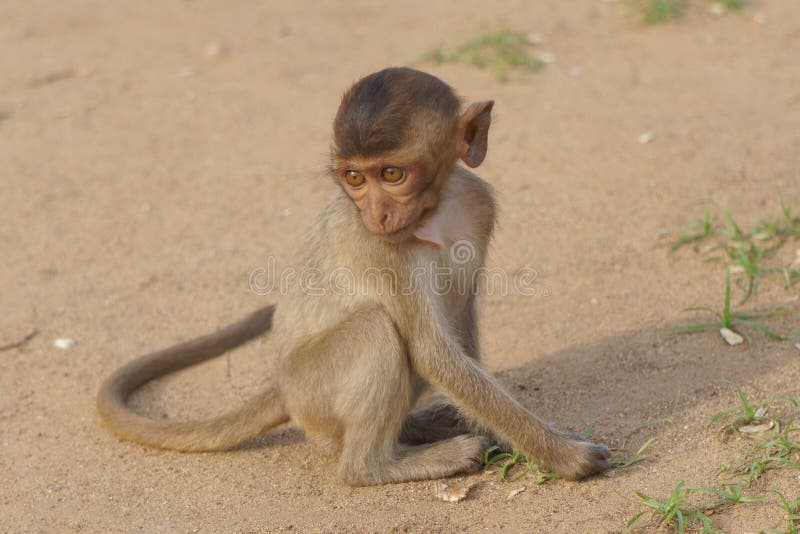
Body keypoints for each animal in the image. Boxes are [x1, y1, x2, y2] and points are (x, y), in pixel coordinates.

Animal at [97, 67, 610, 485]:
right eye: (355, 179)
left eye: (392, 173)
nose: (378, 214)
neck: (435, 213)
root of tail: (283, 386)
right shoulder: (379, 247)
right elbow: (431, 351)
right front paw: (565, 456)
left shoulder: (479, 205)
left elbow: (459, 323)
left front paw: (496, 428)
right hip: (313, 391)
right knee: (376, 331)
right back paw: (378, 465)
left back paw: (417, 428)